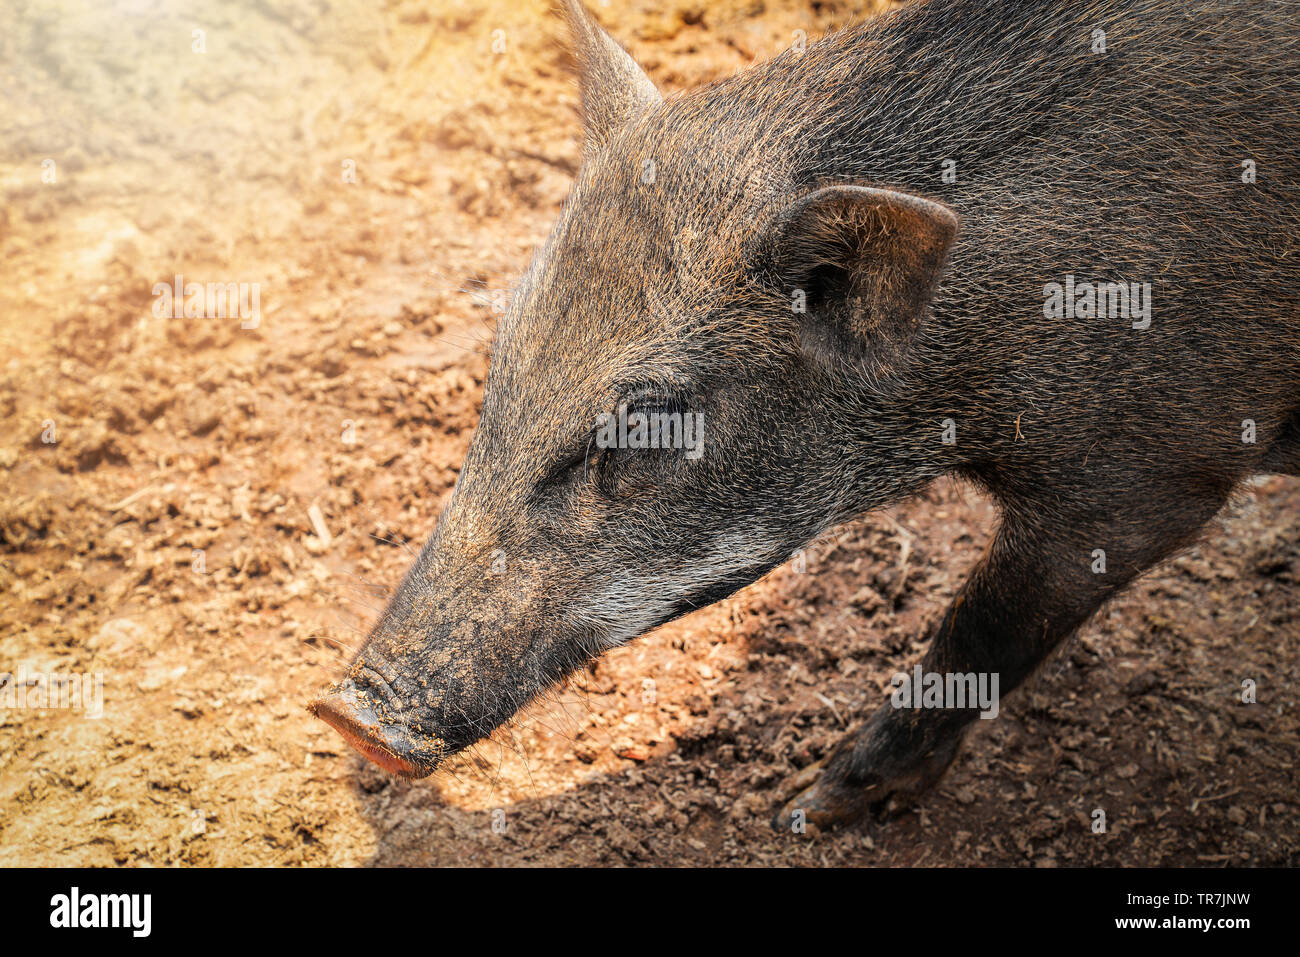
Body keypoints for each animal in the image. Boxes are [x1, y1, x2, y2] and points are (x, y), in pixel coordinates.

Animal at [311, 0, 1300, 828]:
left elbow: (981, 627)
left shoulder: (1150, 473)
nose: (344, 713)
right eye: (504, 344)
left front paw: (806, 808)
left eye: (650, 418)